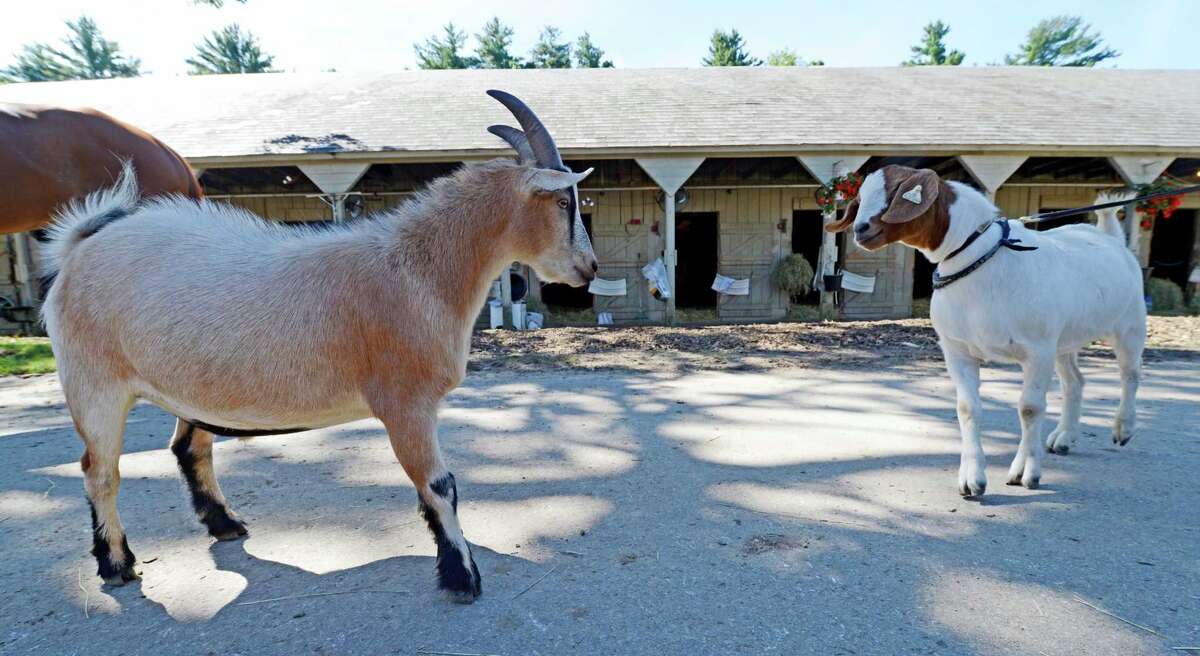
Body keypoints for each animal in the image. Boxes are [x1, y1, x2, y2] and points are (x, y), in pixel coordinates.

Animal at [40, 91, 597, 602]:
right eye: (565, 202)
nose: (588, 269)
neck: (416, 271)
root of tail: (79, 245)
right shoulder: (406, 402)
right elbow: (440, 486)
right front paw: (462, 577)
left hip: (187, 390)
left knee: (187, 448)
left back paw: (225, 524)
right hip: (94, 382)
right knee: (100, 470)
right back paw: (116, 563)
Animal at [827, 166, 1145, 497]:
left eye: (896, 193)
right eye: (860, 198)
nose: (860, 229)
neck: (984, 262)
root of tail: (1110, 239)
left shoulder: (1037, 350)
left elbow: (1030, 408)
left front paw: (1026, 472)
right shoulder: (957, 350)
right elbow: (968, 408)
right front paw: (972, 479)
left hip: (1129, 323)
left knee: (1130, 373)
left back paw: (1123, 428)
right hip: (1064, 341)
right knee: (1075, 382)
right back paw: (1064, 436)